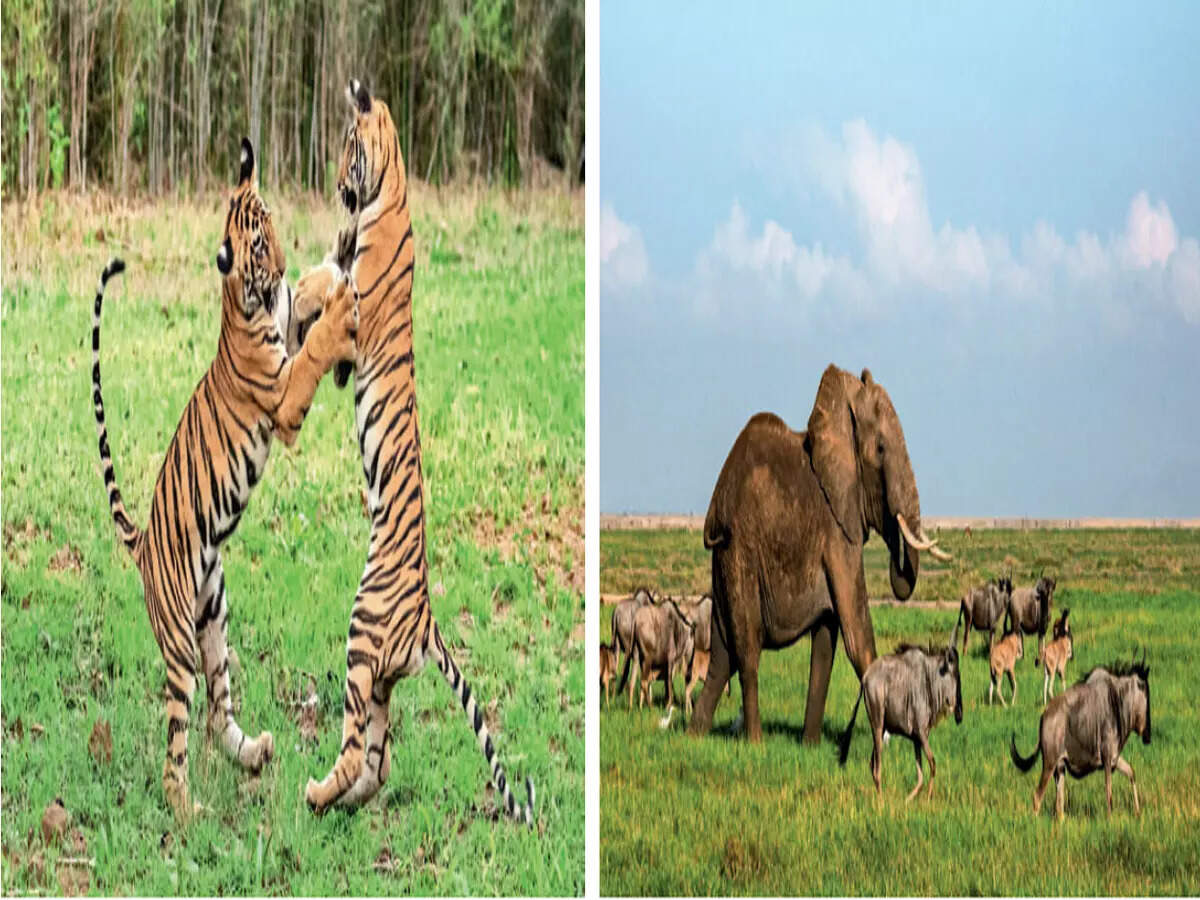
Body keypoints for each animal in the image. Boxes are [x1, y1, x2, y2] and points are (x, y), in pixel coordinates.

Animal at [91, 137, 358, 819]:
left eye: (273, 223)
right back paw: (188, 811)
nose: (281, 263)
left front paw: (326, 277)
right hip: (181, 642)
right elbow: (314, 348)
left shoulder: (287, 318)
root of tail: (141, 543)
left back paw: (256, 754)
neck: (247, 302)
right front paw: (338, 301)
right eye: (258, 245)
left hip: (216, 616)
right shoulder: (285, 396)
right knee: (178, 742)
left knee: (217, 713)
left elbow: (307, 301)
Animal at [302, 80, 535, 826]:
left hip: (361, 637)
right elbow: (321, 268)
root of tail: (429, 624)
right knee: (377, 761)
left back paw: (315, 793)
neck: (388, 187)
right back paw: (338, 805)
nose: (333, 185)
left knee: (358, 751)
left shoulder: (354, 310)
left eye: (346, 144)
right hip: (379, 679)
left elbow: (327, 287)